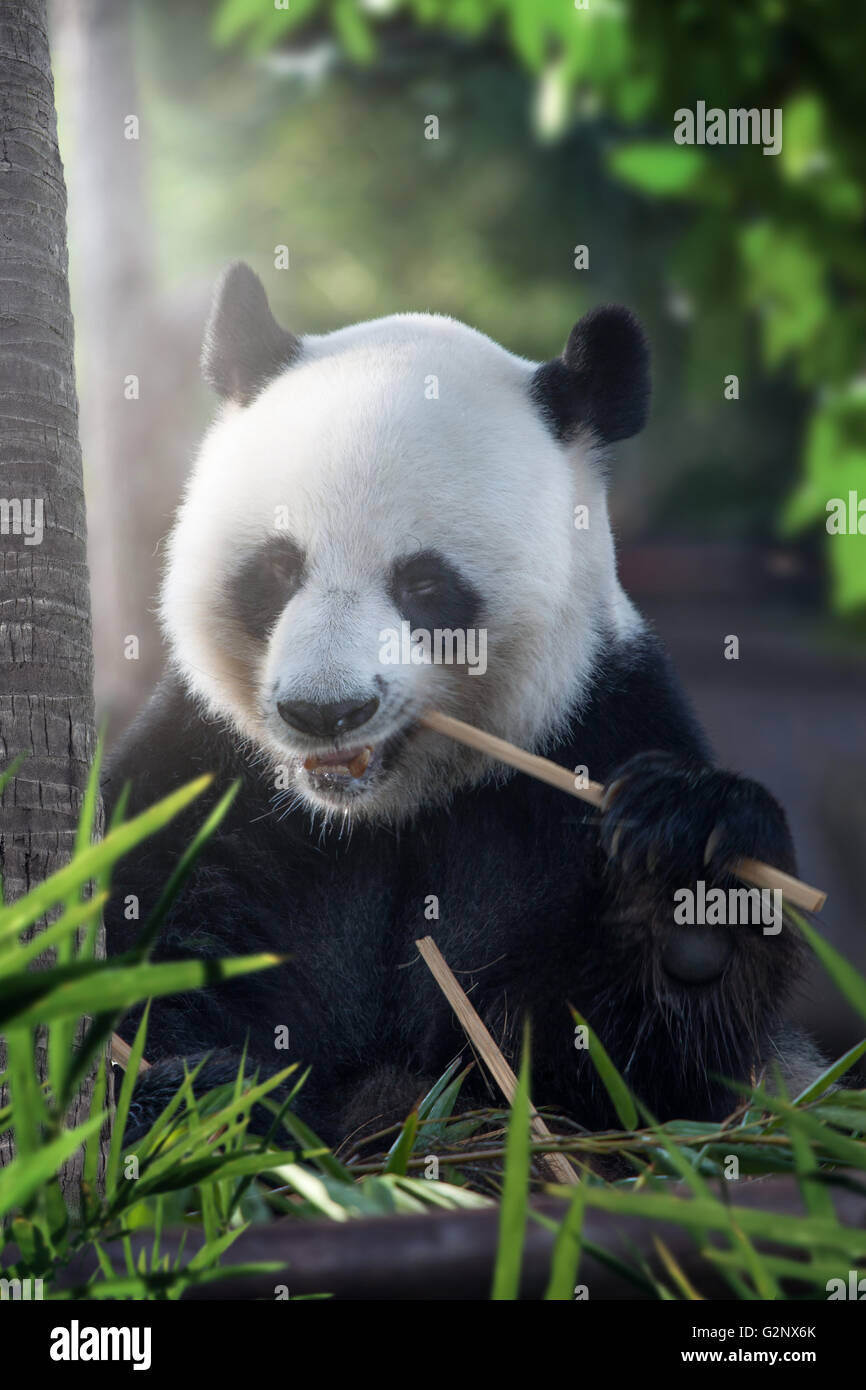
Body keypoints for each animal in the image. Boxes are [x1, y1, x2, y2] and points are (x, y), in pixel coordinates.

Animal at [105, 262, 819, 1146]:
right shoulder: (207, 775)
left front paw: (692, 888)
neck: (377, 811)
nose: (324, 711)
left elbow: (615, 1075)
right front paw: (198, 1100)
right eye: (276, 569)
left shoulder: (586, 738)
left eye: (423, 584)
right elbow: (156, 957)